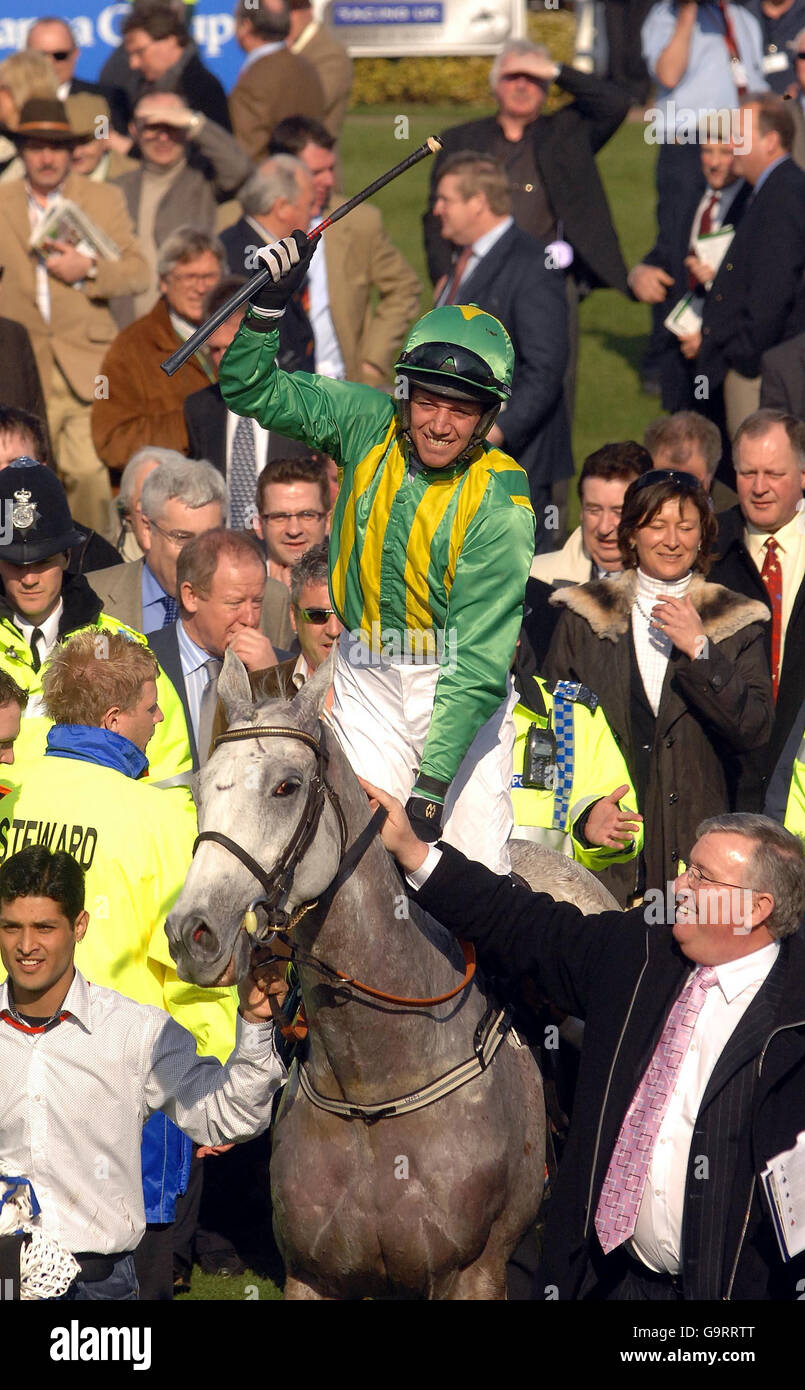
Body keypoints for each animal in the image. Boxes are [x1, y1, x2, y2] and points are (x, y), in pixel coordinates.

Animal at [165, 650, 611, 1301]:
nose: (192, 932)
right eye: (200, 790)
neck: (375, 1085)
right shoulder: (312, 1276)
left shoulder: (475, 1273)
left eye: (286, 786)